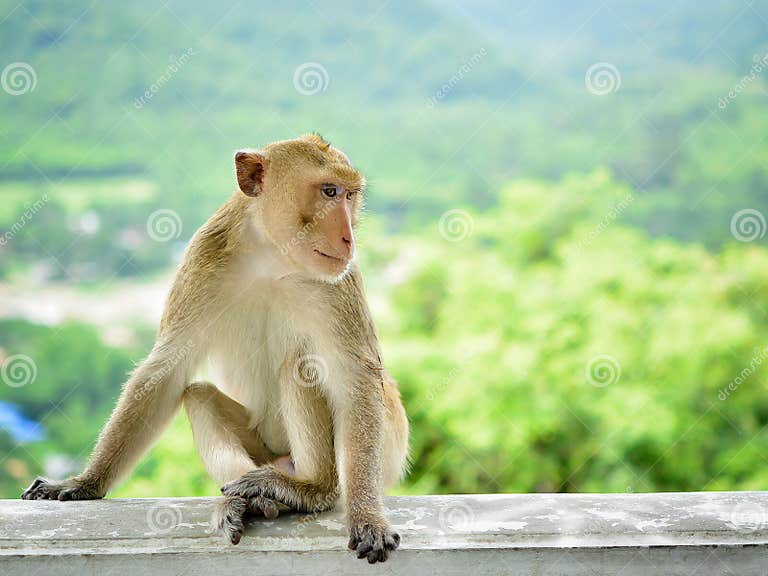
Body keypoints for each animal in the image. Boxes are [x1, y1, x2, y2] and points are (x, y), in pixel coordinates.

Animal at [21, 134, 410, 564]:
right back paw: (248, 500)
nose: (349, 237)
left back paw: (312, 490)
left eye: (349, 195)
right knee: (199, 396)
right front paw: (84, 482)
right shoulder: (204, 257)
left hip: (389, 446)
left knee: (301, 367)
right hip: (261, 447)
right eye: (329, 192)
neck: (272, 258)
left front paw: (366, 517)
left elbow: (354, 380)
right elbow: (167, 369)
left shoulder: (340, 283)